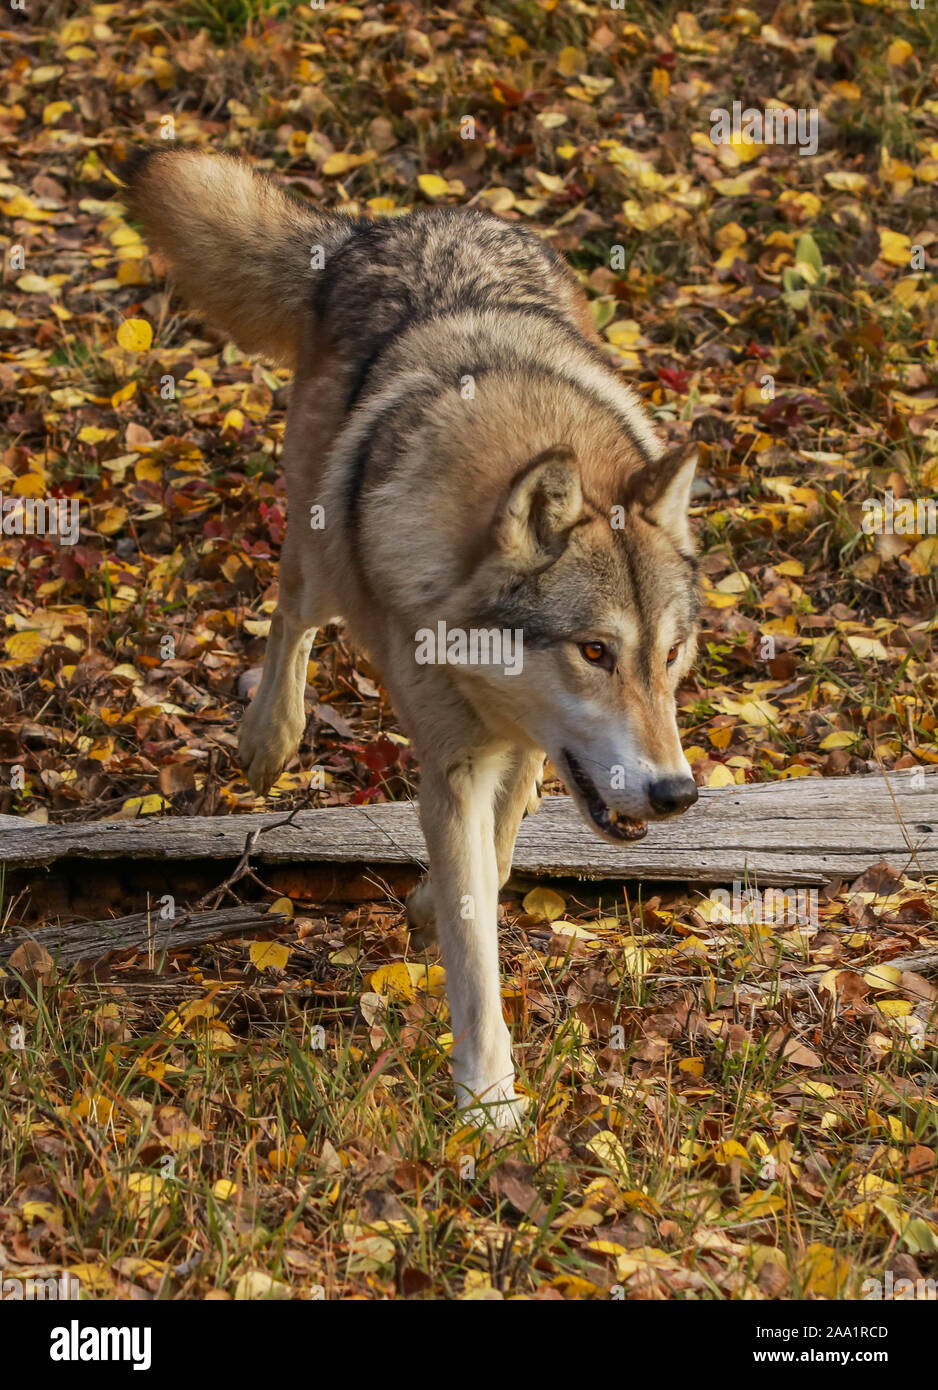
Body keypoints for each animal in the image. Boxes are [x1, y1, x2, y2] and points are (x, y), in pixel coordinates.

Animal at [126, 149, 700, 1128]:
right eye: (594, 651)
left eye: (667, 657)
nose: (676, 794)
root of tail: (384, 225)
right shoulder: (456, 760)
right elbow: (475, 954)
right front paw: (489, 1107)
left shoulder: (506, 749)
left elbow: (493, 865)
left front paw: (441, 903)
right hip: (317, 545)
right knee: (292, 618)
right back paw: (267, 739)